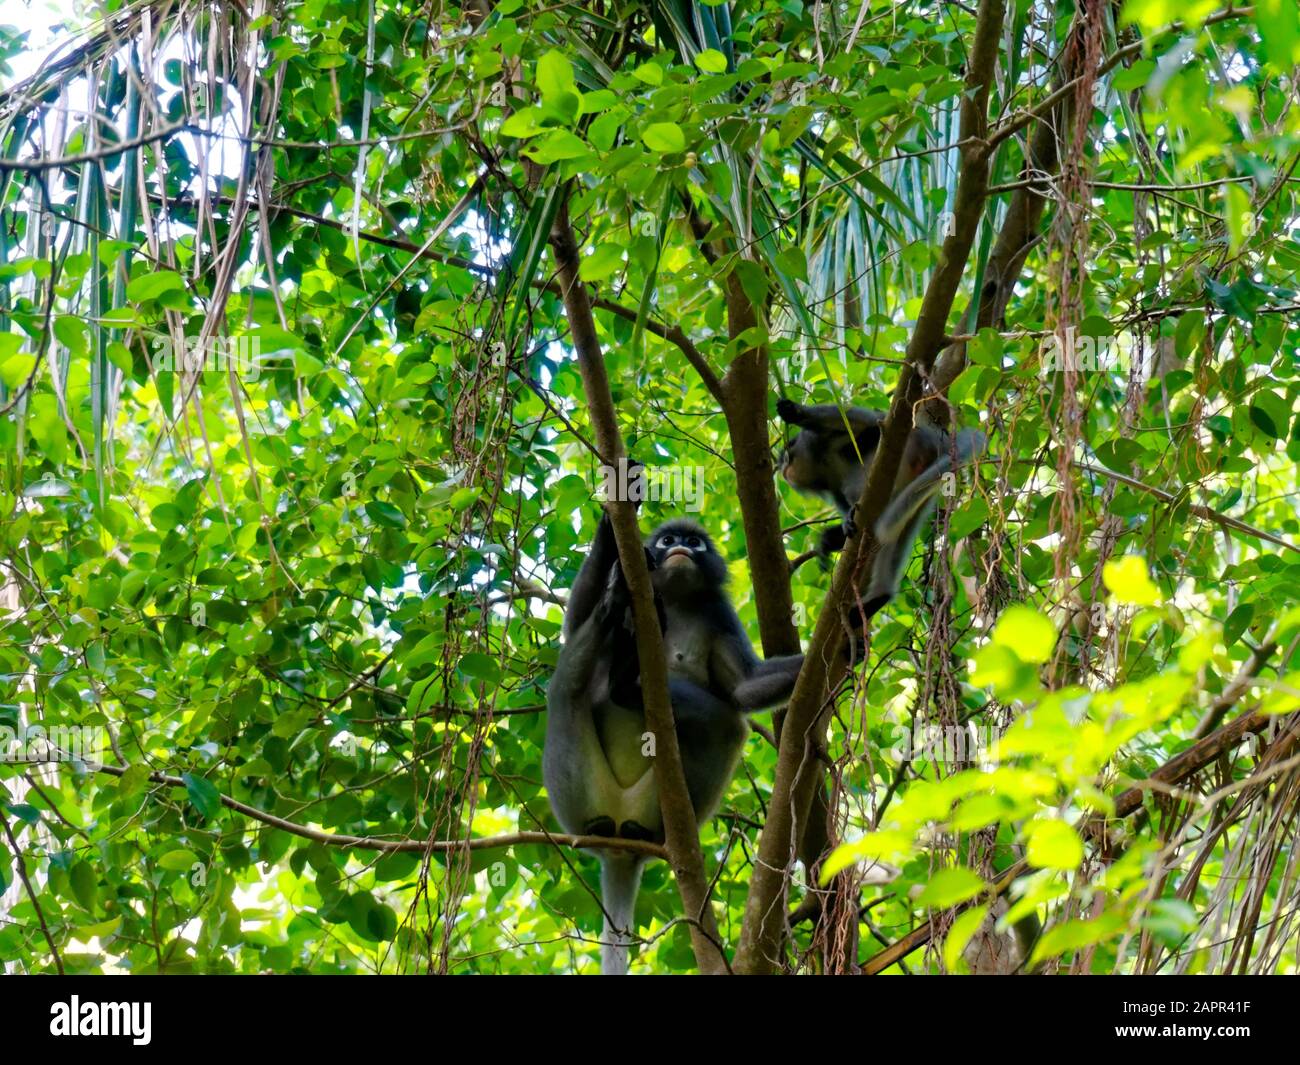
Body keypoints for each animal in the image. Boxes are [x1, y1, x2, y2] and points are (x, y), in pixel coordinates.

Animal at [544, 513, 804, 974]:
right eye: (668, 540)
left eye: (693, 543)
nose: (681, 546)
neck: (678, 600)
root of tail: (619, 850)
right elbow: (572, 626)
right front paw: (610, 525)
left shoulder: (718, 613)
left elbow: (743, 688)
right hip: (577, 800)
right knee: (565, 682)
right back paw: (614, 610)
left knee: (728, 722)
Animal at [776, 397, 985, 621]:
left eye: (789, 449)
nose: (782, 467)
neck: (823, 464)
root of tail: (936, 443)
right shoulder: (833, 488)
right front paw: (832, 538)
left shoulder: (827, 438)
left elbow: (861, 420)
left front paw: (794, 411)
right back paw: (879, 594)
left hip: (904, 455)